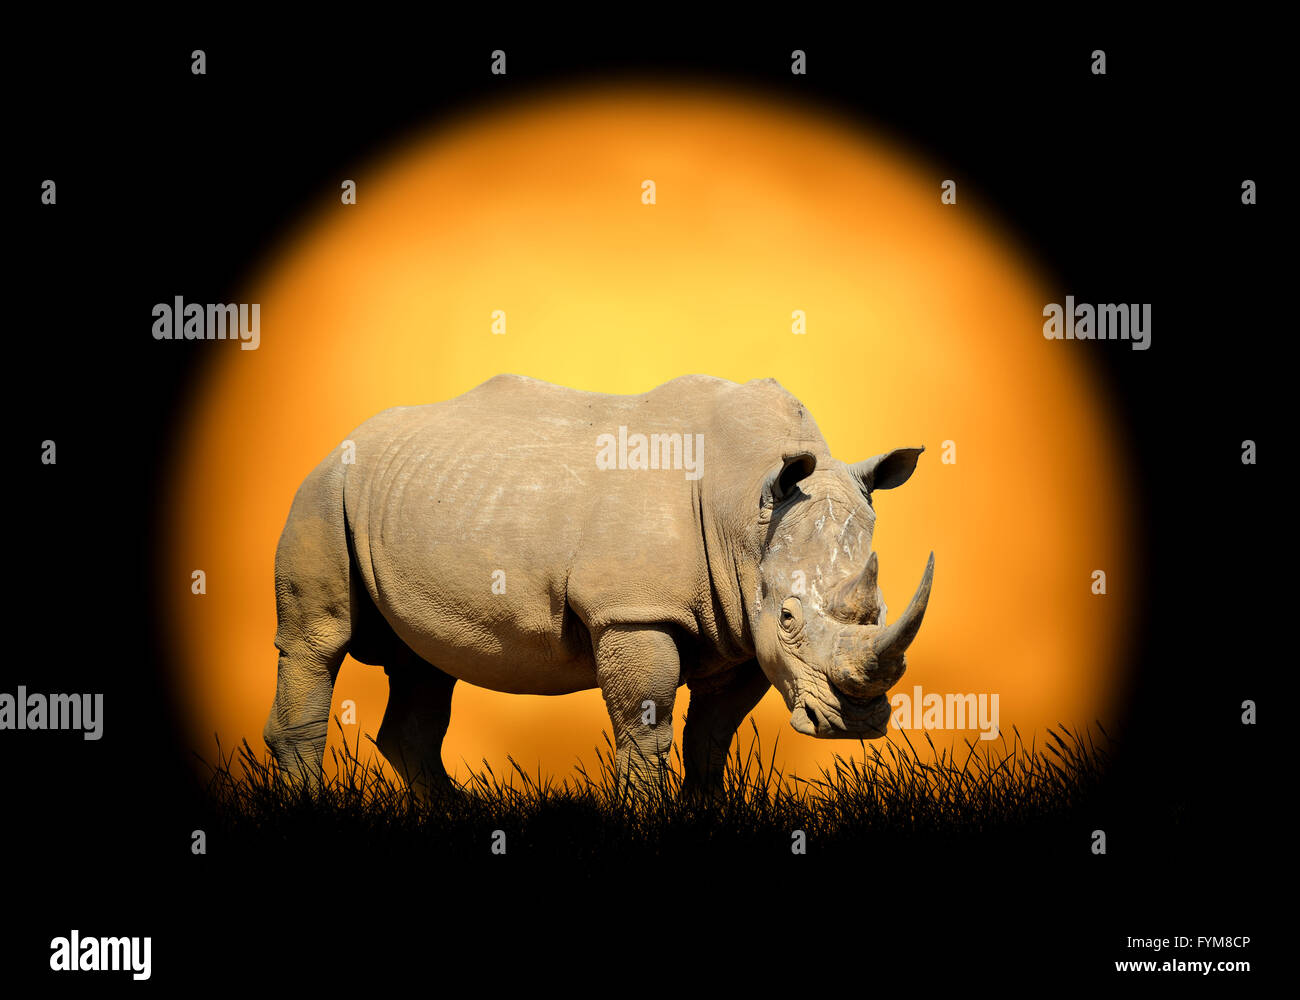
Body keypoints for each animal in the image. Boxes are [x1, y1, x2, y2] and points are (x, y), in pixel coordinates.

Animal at [263, 374, 933, 795]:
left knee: (425, 662)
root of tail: (342, 441)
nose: (856, 721)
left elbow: (712, 737)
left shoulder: (742, 625)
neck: (746, 506)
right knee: (317, 640)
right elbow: (646, 732)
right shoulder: (633, 610)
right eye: (790, 618)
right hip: (324, 489)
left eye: (881, 608)